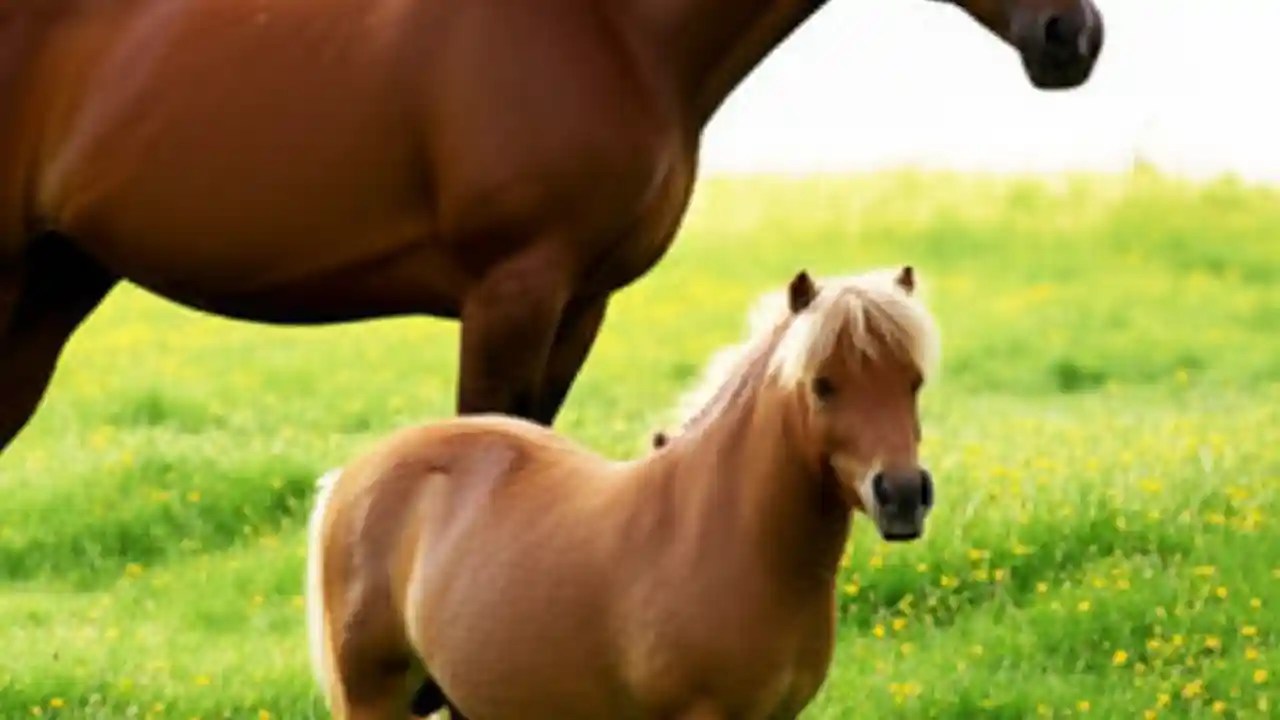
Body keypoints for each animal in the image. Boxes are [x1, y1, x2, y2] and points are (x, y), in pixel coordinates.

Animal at [306, 264, 941, 719]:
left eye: (914, 382)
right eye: (822, 385)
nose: (902, 495)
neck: (726, 534)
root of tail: (352, 476)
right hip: (372, 702)